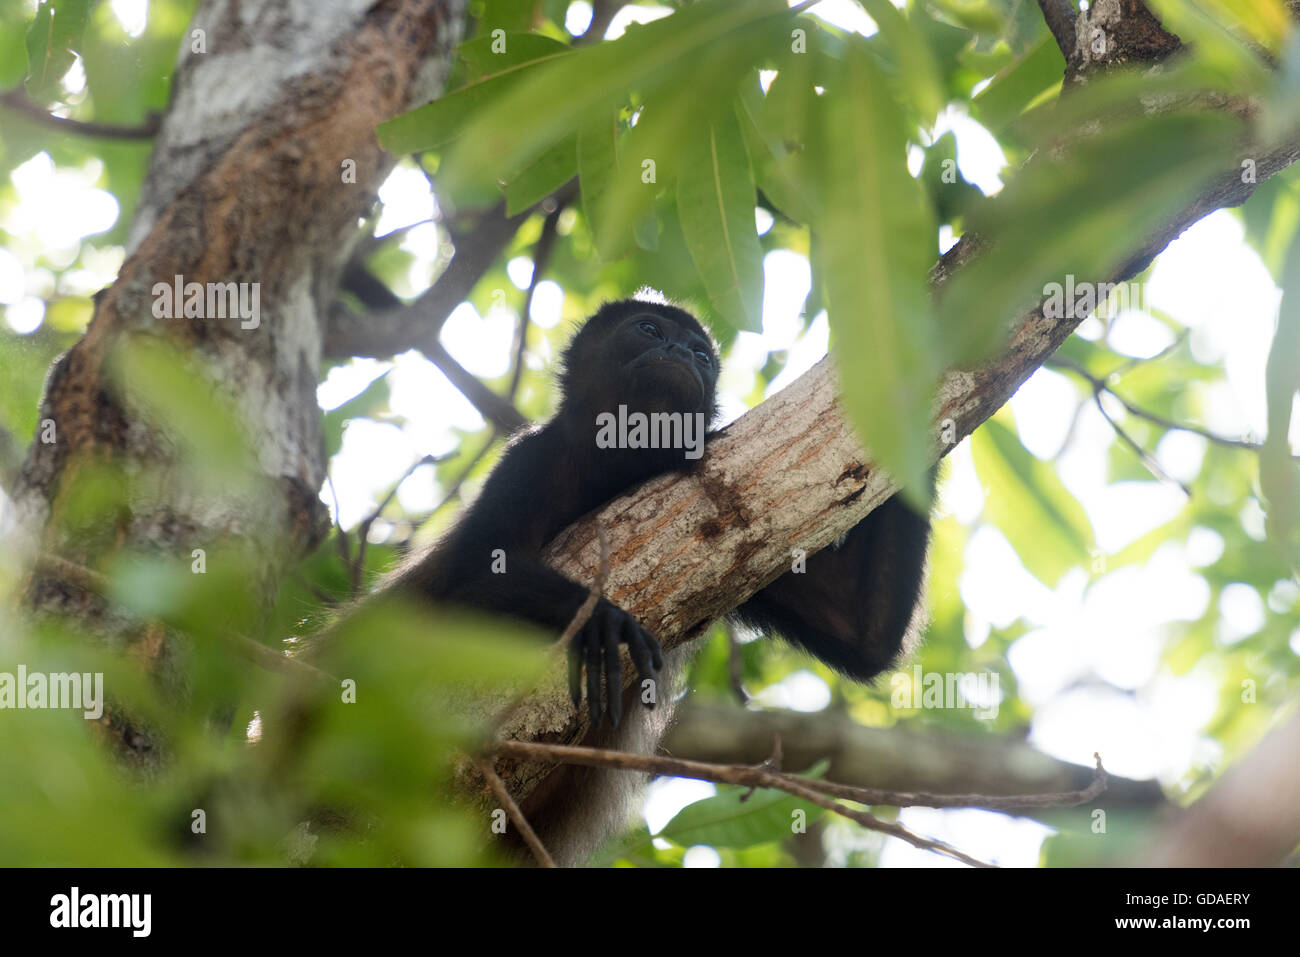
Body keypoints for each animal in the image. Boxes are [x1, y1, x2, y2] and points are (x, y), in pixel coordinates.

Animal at [392, 296, 931, 863]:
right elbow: (473, 573)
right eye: (649, 330)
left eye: (702, 355)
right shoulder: (529, 457)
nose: (680, 352)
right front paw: (608, 624)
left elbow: (862, 636)